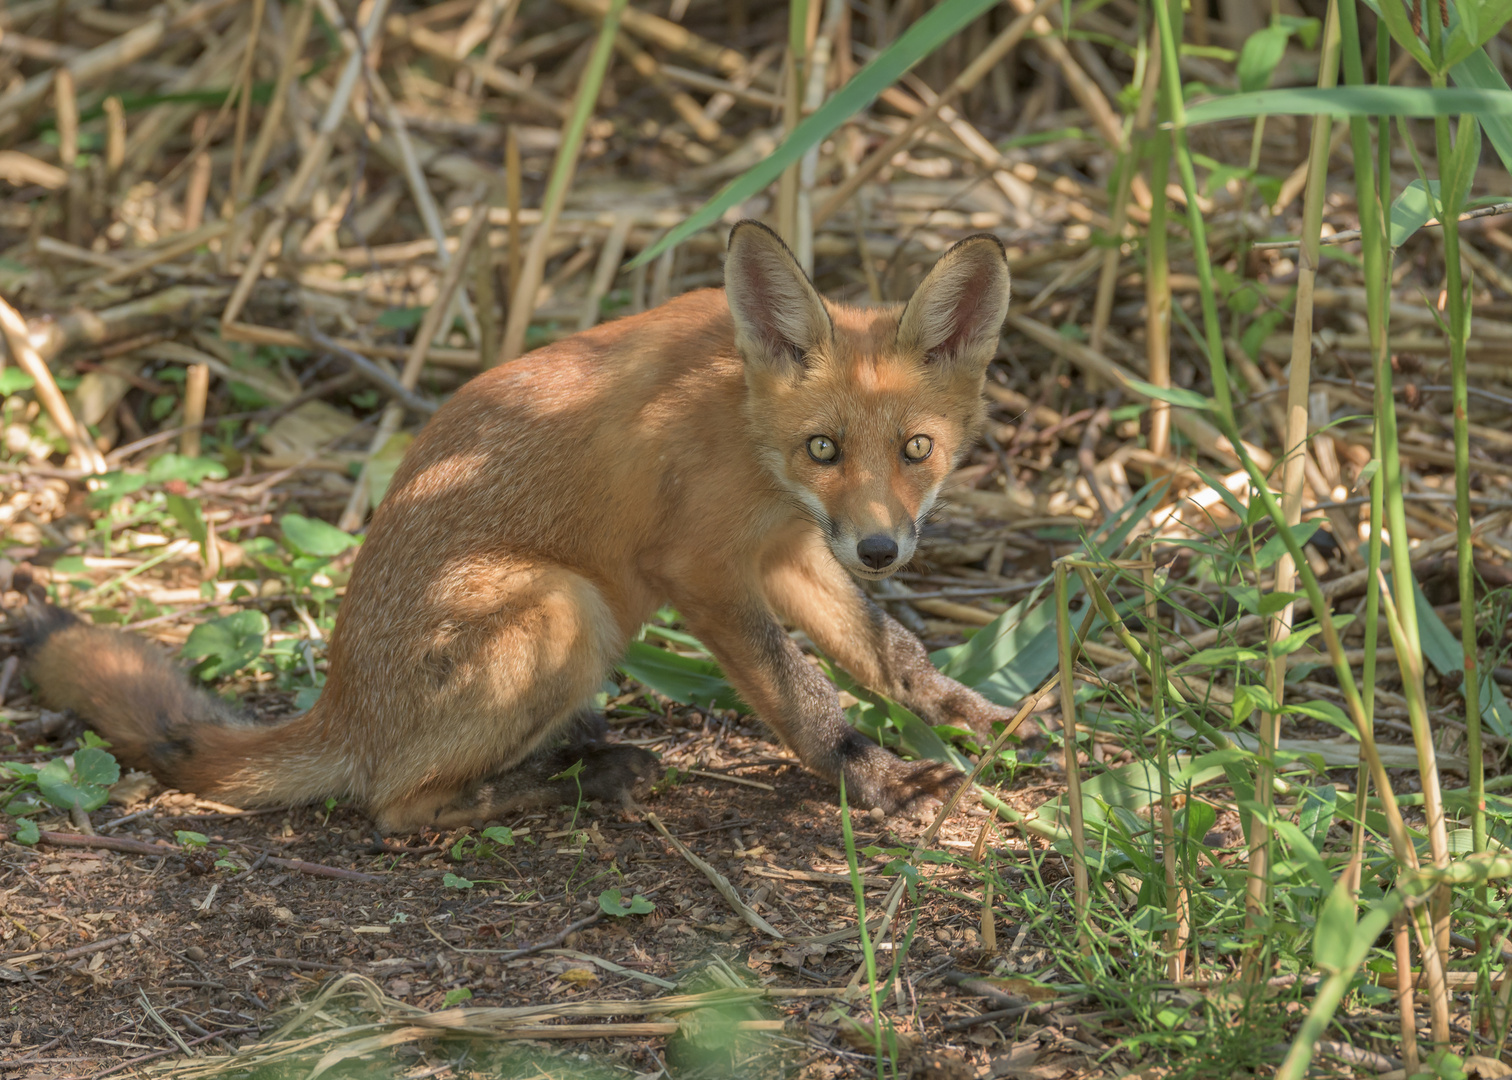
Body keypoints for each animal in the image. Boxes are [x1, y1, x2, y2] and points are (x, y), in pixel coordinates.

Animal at [17, 216, 1016, 822]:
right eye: (824, 448)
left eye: (916, 450)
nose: (882, 548)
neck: (745, 432)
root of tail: (343, 704)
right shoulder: (702, 568)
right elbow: (801, 691)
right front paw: (875, 776)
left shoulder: (791, 552)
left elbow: (887, 651)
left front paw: (968, 712)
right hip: (566, 609)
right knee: (395, 805)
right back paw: (570, 783)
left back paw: (578, 755)